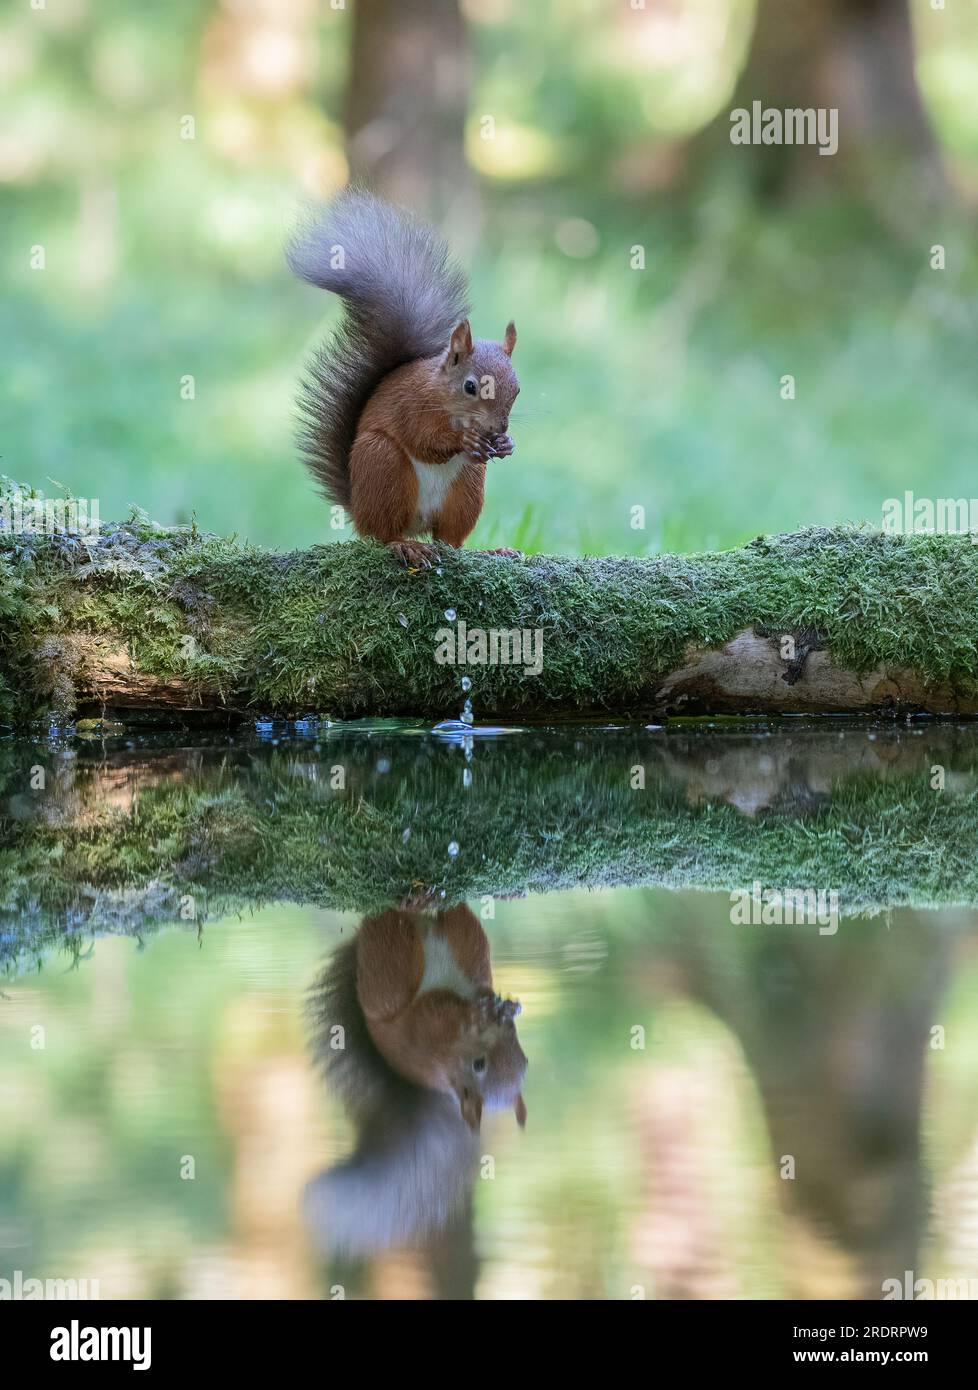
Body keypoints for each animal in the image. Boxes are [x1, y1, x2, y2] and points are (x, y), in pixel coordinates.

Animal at [287, 189, 520, 569]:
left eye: (517, 390)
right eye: (470, 386)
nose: (497, 429)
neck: (442, 394)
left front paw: (506, 444)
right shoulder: (412, 405)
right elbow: (424, 440)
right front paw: (463, 440)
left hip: (468, 487)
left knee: (450, 540)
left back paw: (488, 551)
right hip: (383, 464)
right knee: (383, 534)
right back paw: (405, 546)